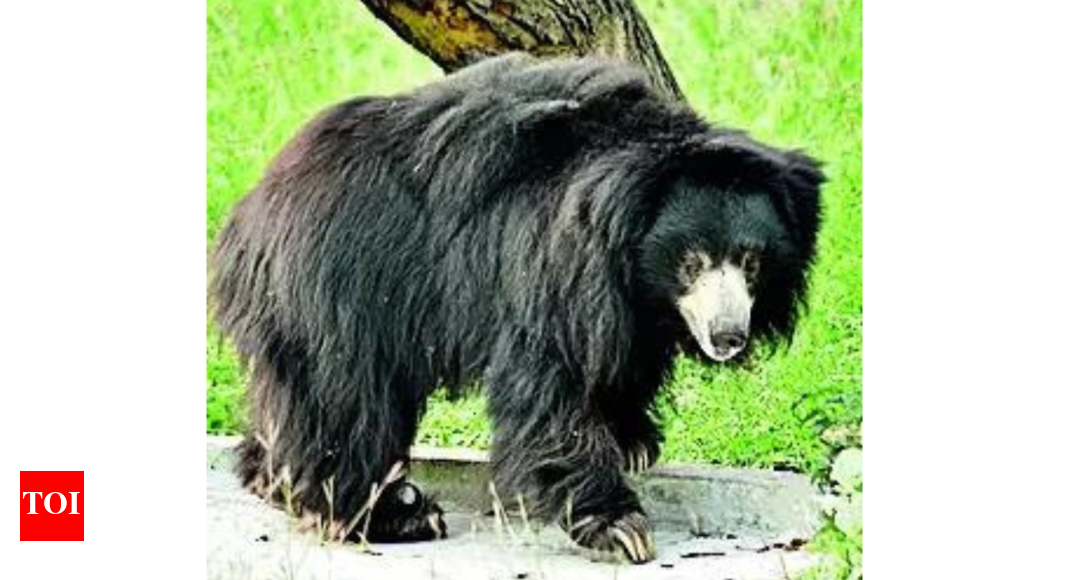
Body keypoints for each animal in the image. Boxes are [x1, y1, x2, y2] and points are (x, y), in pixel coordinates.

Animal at [209, 53, 823, 563]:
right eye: (691, 263)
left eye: (751, 261)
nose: (728, 337)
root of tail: (250, 210)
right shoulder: (547, 266)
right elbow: (553, 381)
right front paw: (621, 526)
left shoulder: (628, 298)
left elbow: (620, 357)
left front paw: (633, 440)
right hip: (338, 295)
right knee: (345, 402)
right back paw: (387, 514)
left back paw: (276, 478)